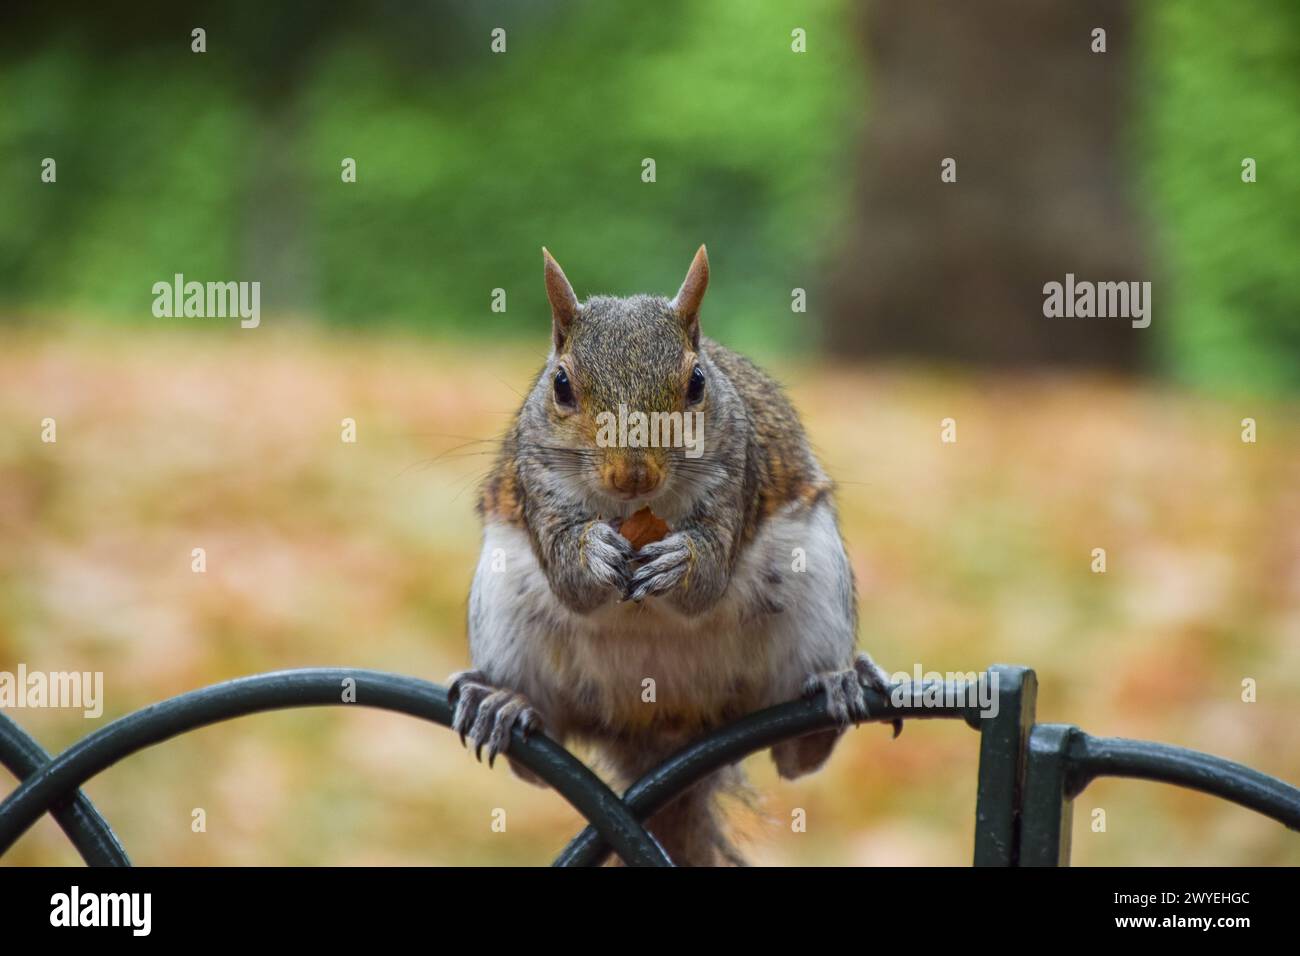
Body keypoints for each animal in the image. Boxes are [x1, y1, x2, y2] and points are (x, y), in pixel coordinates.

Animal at [449, 246, 897, 865]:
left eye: (697, 382)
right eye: (560, 385)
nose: (632, 475)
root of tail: (664, 737)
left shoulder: (738, 476)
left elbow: (708, 578)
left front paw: (681, 563)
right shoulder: (537, 485)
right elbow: (568, 575)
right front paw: (592, 554)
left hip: (816, 601)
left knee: (796, 759)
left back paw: (839, 688)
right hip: (505, 617)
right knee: (539, 754)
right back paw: (502, 703)